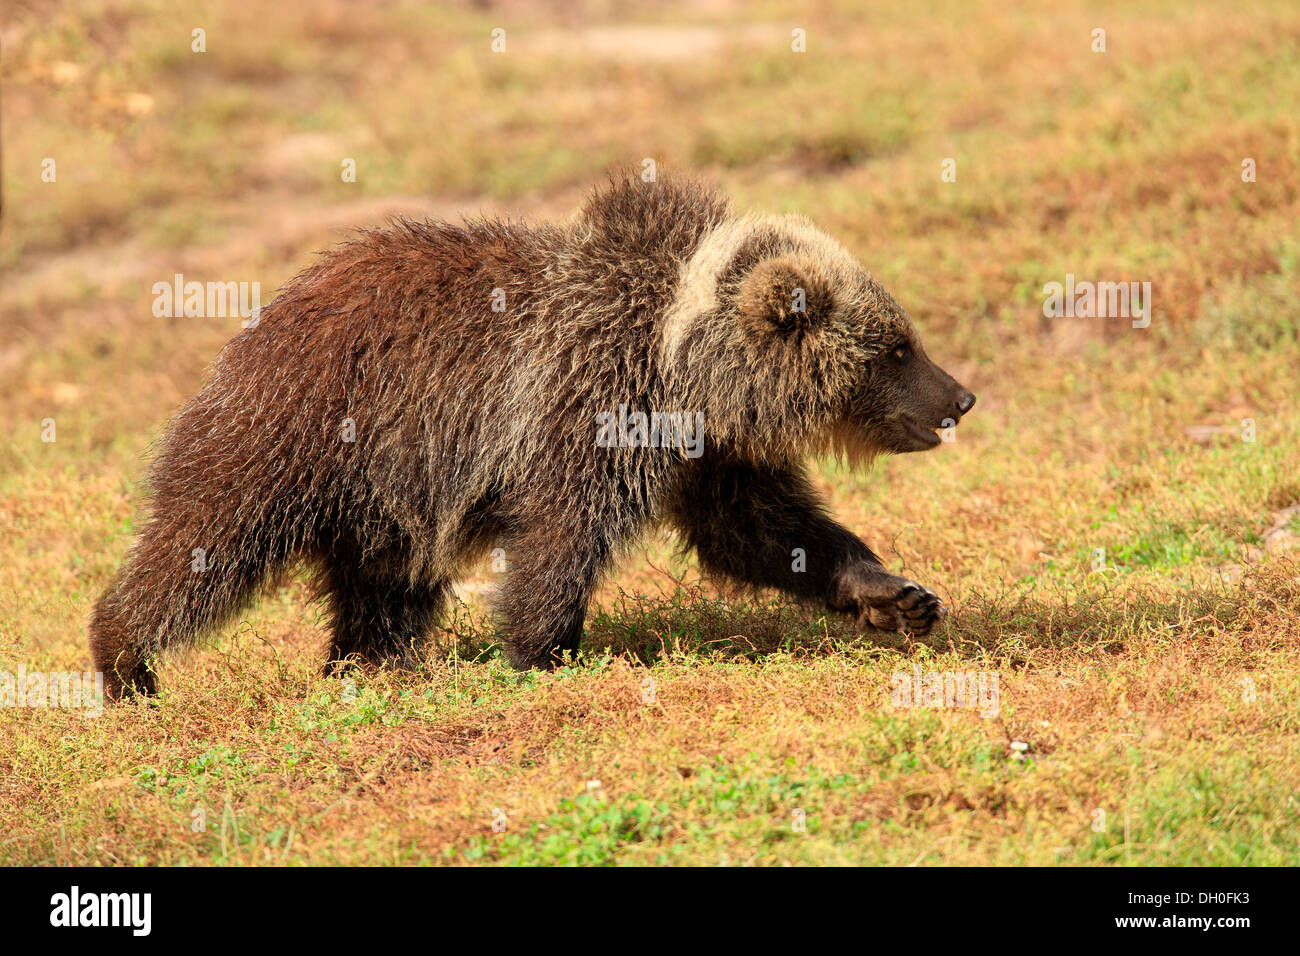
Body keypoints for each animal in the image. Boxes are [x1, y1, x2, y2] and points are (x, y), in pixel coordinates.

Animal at [89, 173, 975, 701]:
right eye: (897, 347)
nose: (961, 398)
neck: (681, 362)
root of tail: (257, 321)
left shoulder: (706, 453)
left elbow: (762, 530)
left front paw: (895, 594)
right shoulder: (586, 405)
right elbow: (562, 530)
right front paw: (545, 652)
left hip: (388, 496)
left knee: (386, 586)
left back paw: (374, 665)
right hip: (297, 432)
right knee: (206, 545)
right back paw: (125, 660)